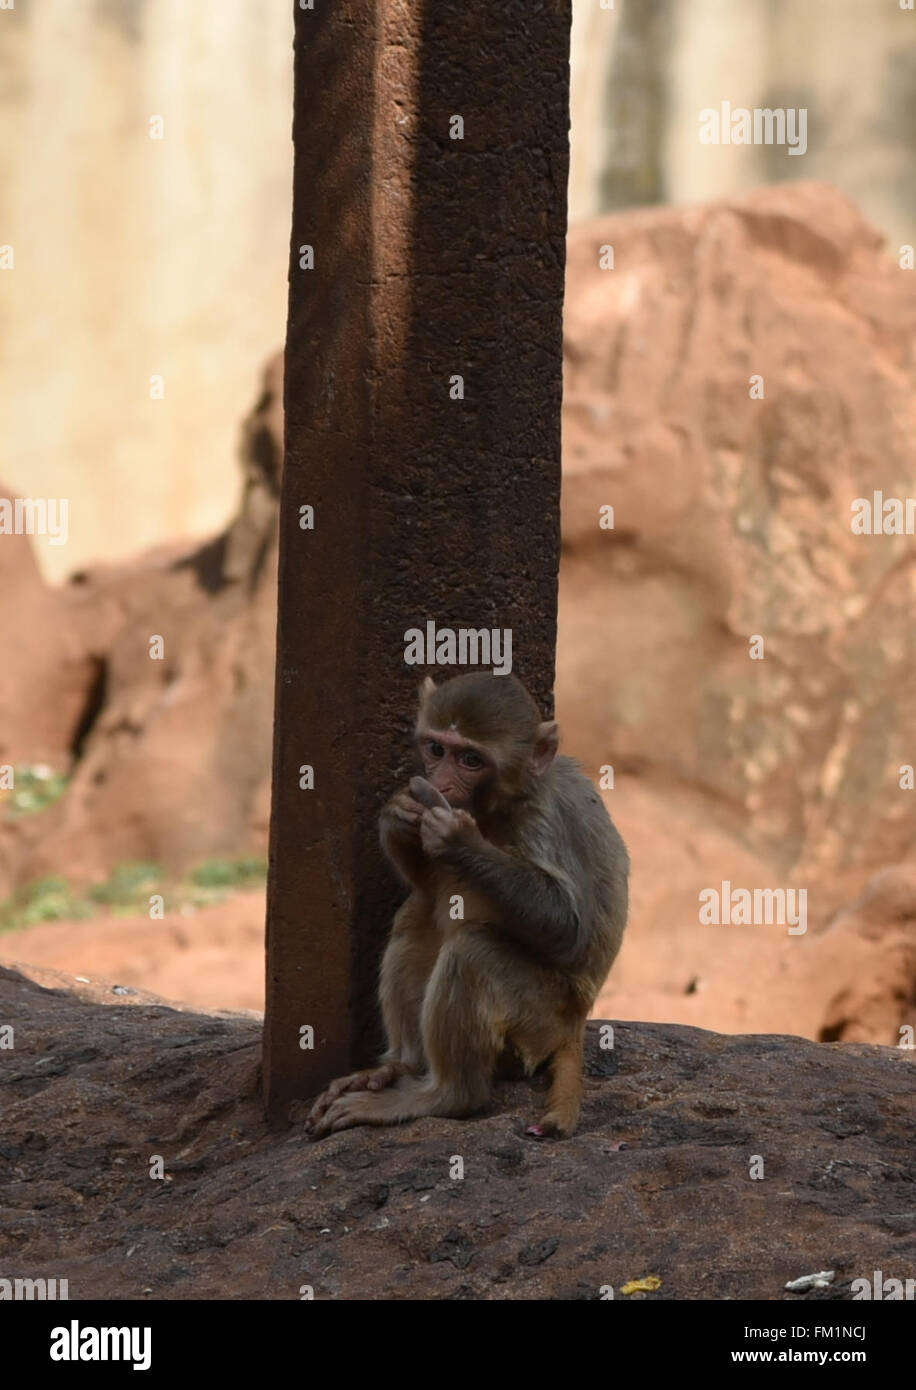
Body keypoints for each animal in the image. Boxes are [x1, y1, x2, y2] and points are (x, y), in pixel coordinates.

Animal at [308, 671, 628, 1140]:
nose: (440, 784)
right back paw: (400, 1066)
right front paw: (398, 813)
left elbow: (568, 927)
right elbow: (426, 882)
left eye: (471, 760)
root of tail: (574, 1026)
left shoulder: (544, 818)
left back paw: (446, 1096)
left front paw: (457, 838)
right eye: (437, 750)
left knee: (472, 952)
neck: (501, 804)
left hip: (538, 1020)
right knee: (417, 915)